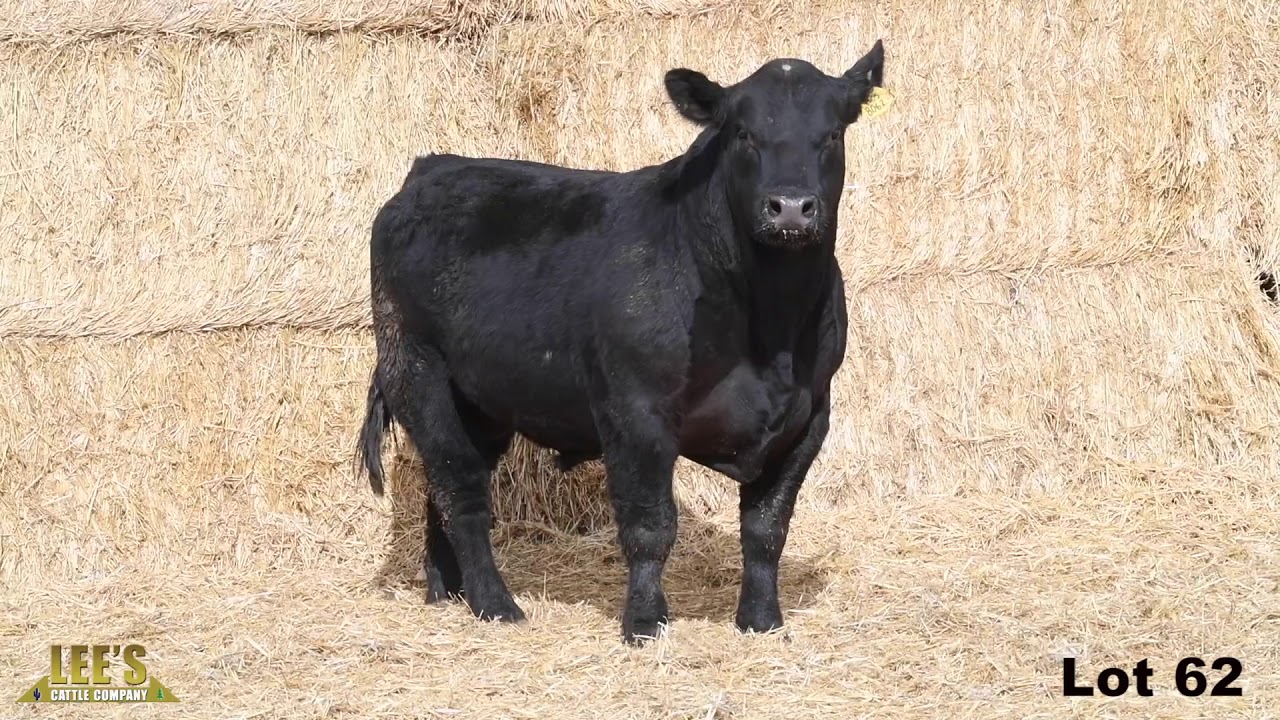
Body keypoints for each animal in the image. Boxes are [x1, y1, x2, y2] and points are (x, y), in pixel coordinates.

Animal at [357, 40, 886, 645]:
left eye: (833, 133)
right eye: (742, 133)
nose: (791, 207)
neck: (768, 331)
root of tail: (434, 168)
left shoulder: (808, 417)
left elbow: (766, 527)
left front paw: (762, 621)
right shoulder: (635, 411)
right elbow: (650, 525)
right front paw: (645, 622)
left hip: (480, 401)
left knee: (440, 488)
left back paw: (447, 592)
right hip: (417, 371)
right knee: (460, 489)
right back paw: (496, 604)